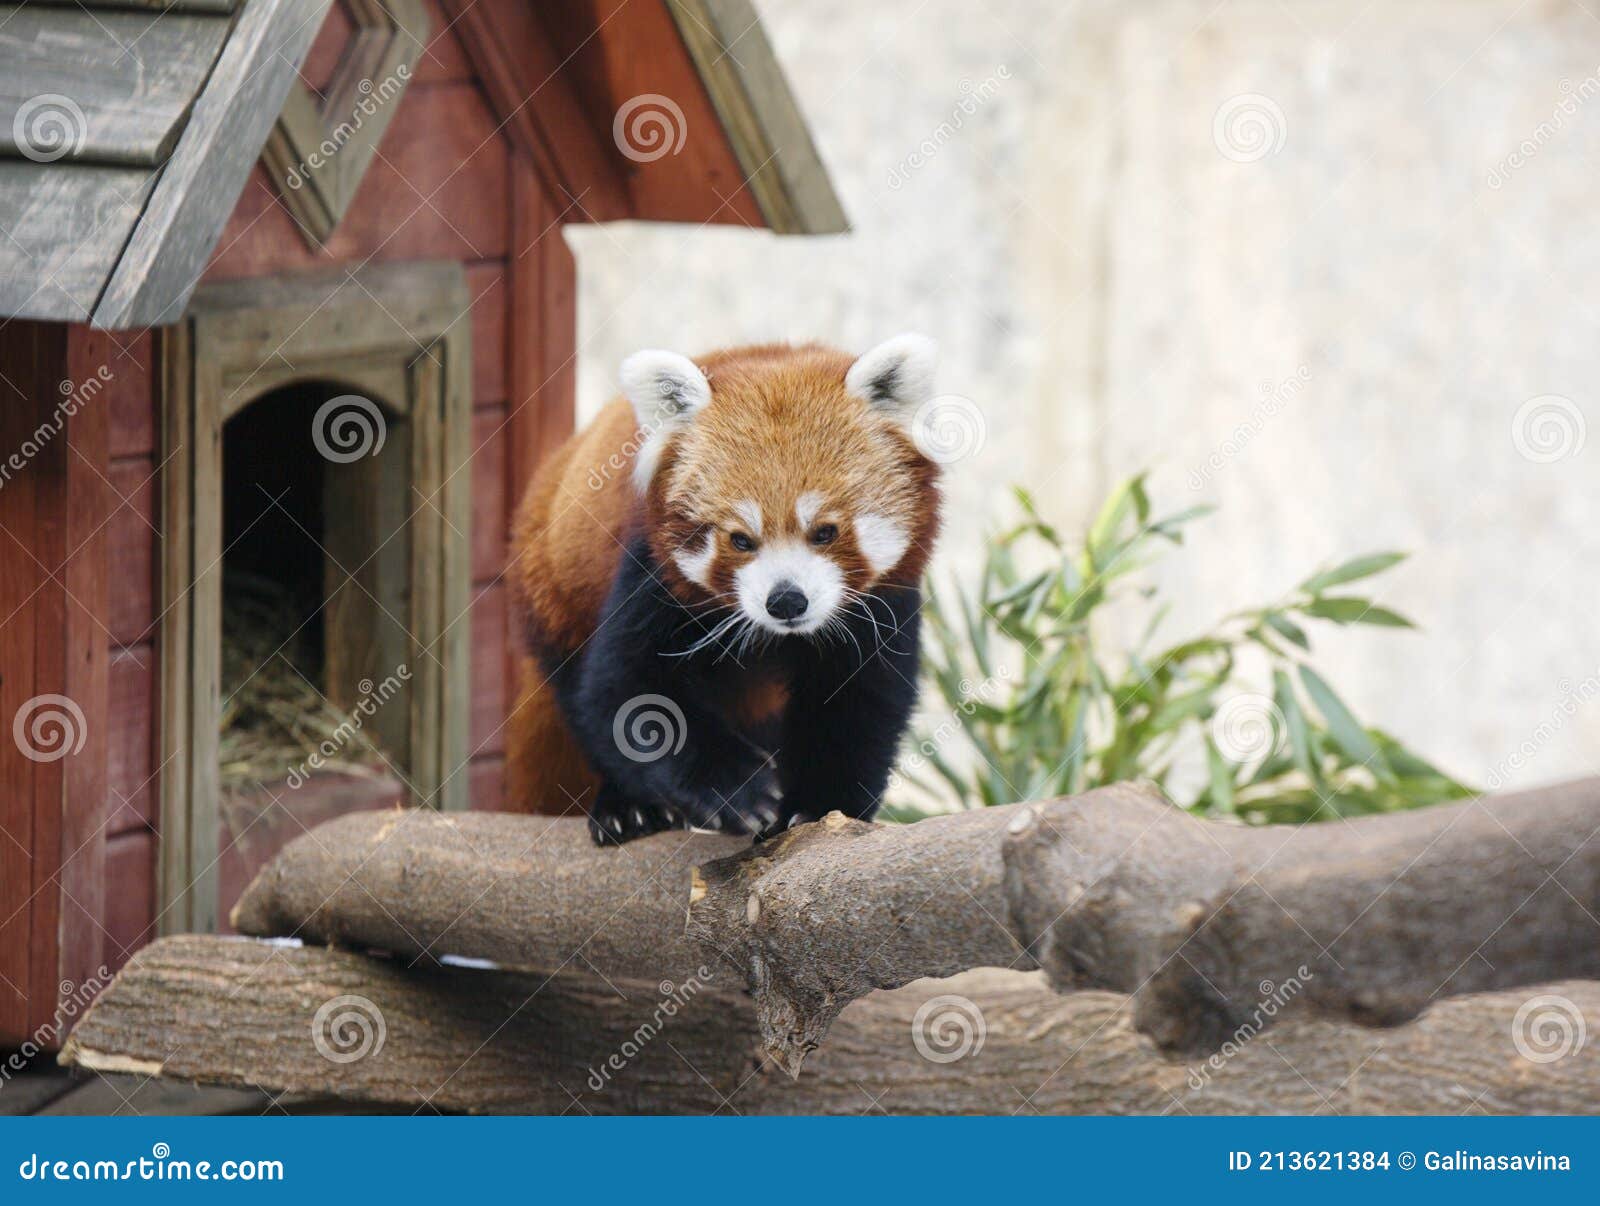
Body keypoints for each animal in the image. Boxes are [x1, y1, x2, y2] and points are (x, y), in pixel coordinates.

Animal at [506, 335, 943, 845]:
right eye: (740, 540)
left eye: (825, 532)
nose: (786, 601)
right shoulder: (651, 573)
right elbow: (625, 693)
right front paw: (740, 793)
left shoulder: (884, 600)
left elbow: (861, 701)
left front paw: (820, 805)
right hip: (552, 589)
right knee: (577, 694)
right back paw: (628, 807)